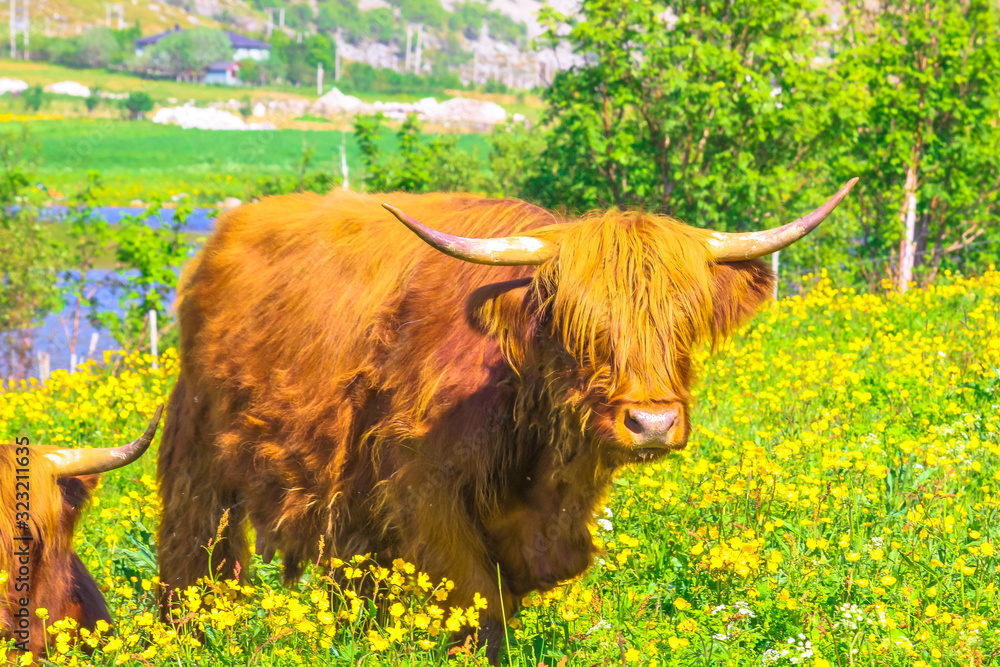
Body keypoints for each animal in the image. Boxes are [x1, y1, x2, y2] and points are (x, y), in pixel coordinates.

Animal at [157, 180, 857, 658]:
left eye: (683, 322)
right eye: (581, 326)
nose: (652, 423)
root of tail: (228, 229)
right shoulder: (425, 499)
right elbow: (482, 611)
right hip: (198, 455)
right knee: (196, 552)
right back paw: (191, 633)